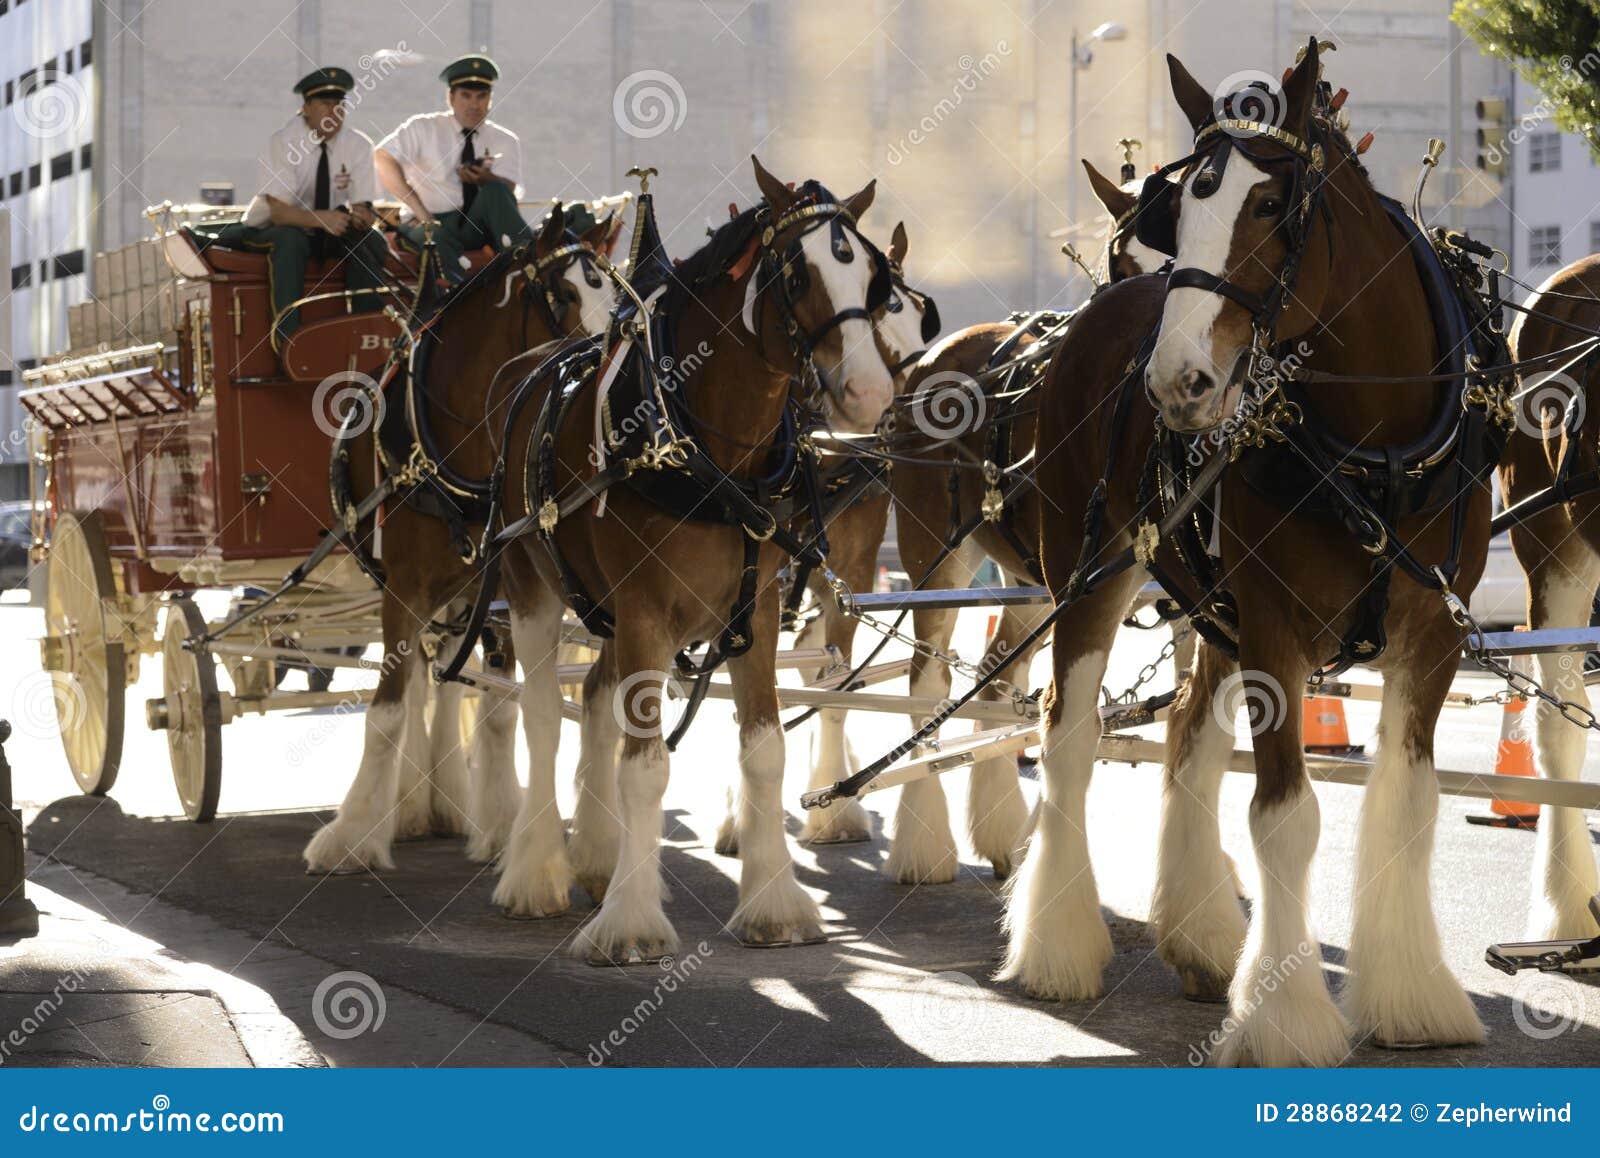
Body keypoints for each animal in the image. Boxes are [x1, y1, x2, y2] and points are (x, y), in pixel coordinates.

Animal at [301, 204, 617, 874]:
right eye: (565, 294)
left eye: (617, 288)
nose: (600, 373)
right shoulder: (403, 590)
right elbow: (387, 712)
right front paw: (352, 835)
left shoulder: (503, 587)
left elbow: (497, 706)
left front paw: (500, 823)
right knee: (420, 682)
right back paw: (409, 801)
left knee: (443, 678)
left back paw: (438, 798)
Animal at [486, 157, 899, 961]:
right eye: (797, 275)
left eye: (873, 276)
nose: (869, 393)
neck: (710, 453)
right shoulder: (645, 609)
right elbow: (645, 767)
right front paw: (631, 924)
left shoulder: (756, 610)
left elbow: (763, 749)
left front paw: (774, 907)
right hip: (534, 587)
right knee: (545, 715)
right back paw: (537, 872)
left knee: (595, 702)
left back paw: (597, 858)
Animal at [792, 164, 1162, 883]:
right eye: (1120, 262)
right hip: (935, 553)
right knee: (923, 680)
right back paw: (918, 841)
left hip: (1030, 579)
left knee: (995, 678)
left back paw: (1005, 838)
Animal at [1004, 41, 1501, 1065]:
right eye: (1182, 210)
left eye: (1271, 206)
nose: (1178, 382)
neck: (1378, 447)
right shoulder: (1275, 622)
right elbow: (1285, 816)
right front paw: (1286, 1019)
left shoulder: (1431, 629)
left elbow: (1411, 804)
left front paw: (1412, 997)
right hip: (1092, 568)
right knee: (1068, 736)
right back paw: (1058, 947)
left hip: (1210, 603)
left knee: (1190, 730)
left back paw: (1200, 937)